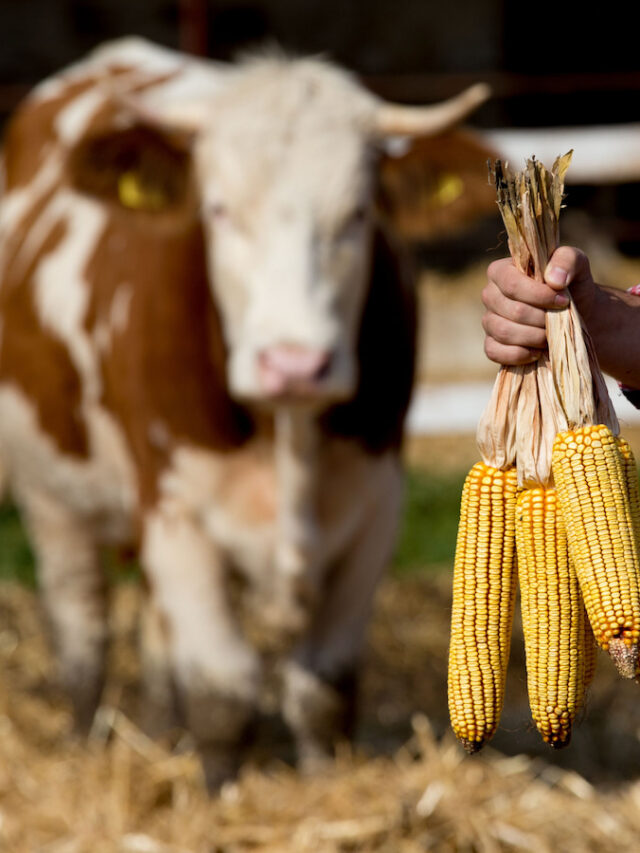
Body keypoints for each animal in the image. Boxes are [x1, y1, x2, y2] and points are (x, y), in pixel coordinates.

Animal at [0, 37, 488, 785]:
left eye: (357, 215)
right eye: (219, 210)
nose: (294, 363)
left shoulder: (376, 505)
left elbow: (324, 689)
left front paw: (324, 783)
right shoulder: (174, 508)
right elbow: (222, 690)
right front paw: (218, 790)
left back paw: (160, 732)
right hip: (51, 494)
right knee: (81, 624)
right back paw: (85, 742)